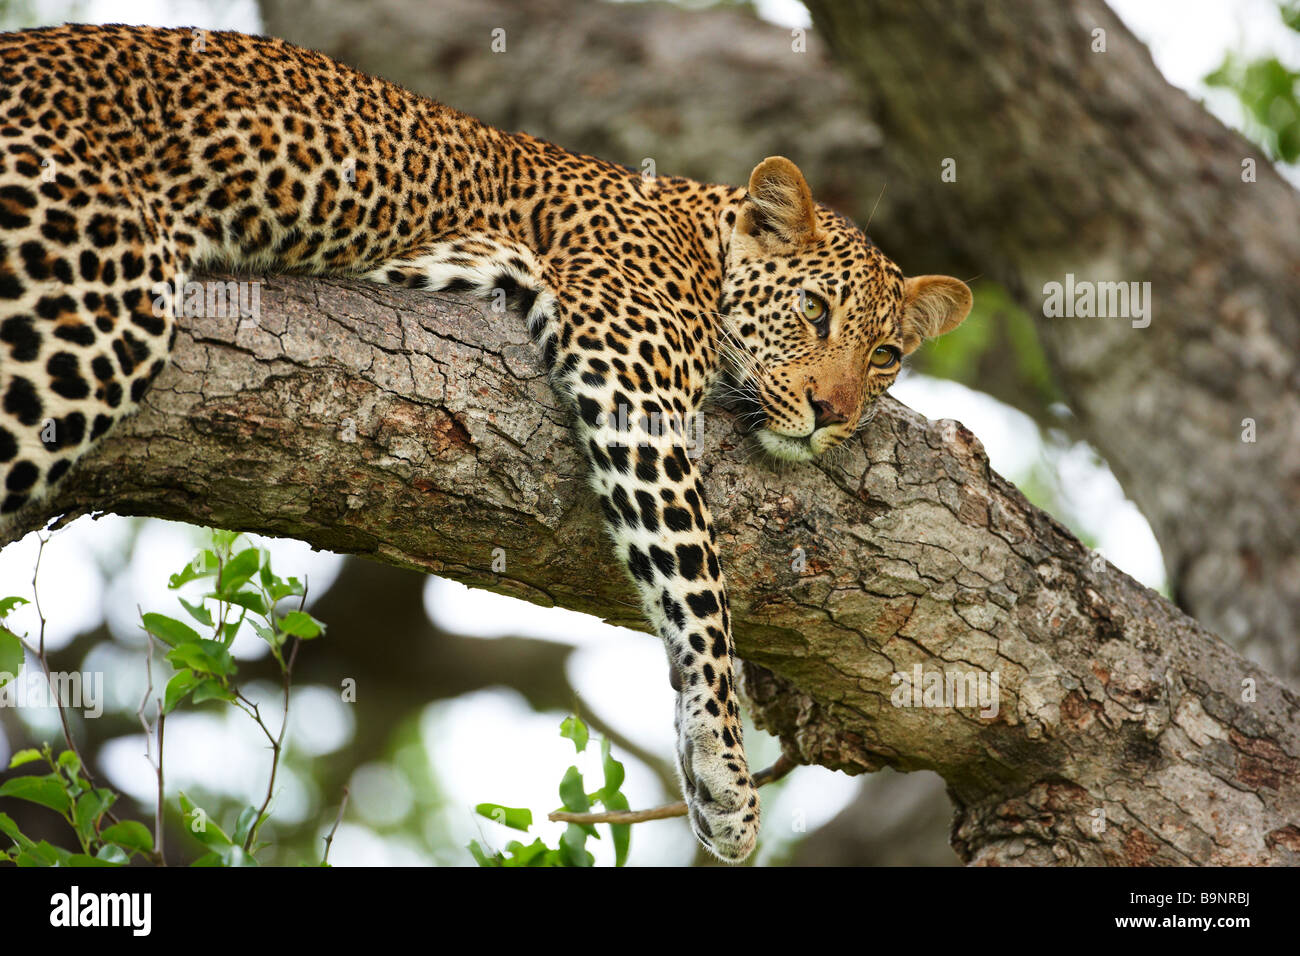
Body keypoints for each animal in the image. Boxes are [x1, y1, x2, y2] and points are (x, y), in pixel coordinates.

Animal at [0, 24, 971, 862]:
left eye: (886, 356)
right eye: (814, 310)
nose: (832, 410)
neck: (699, 237)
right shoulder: (633, 371)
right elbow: (701, 581)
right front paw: (723, 766)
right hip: (95, 303)